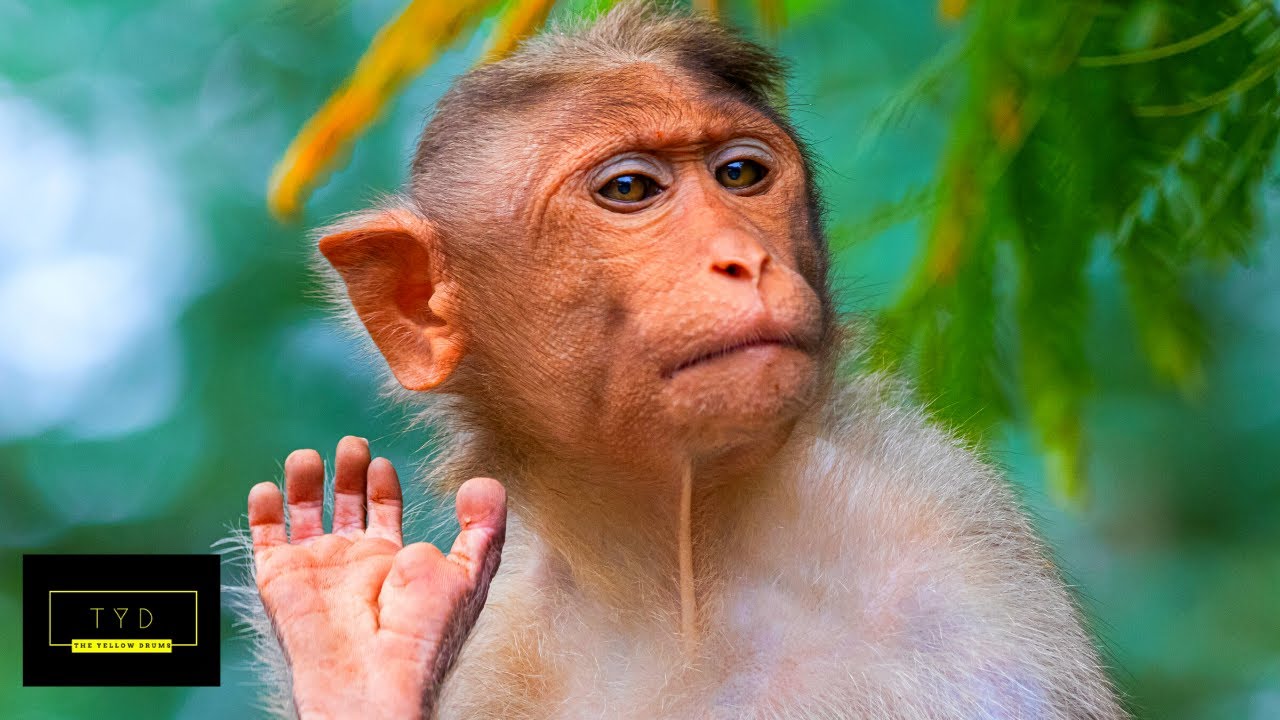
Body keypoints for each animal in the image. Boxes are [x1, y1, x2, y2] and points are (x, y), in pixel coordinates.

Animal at [234, 3, 1127, 719]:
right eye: (630, 190)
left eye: (741, 174)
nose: (744, 259)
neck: (674, 564)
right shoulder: (497, 646)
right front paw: (358, 643)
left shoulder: (949, 562)